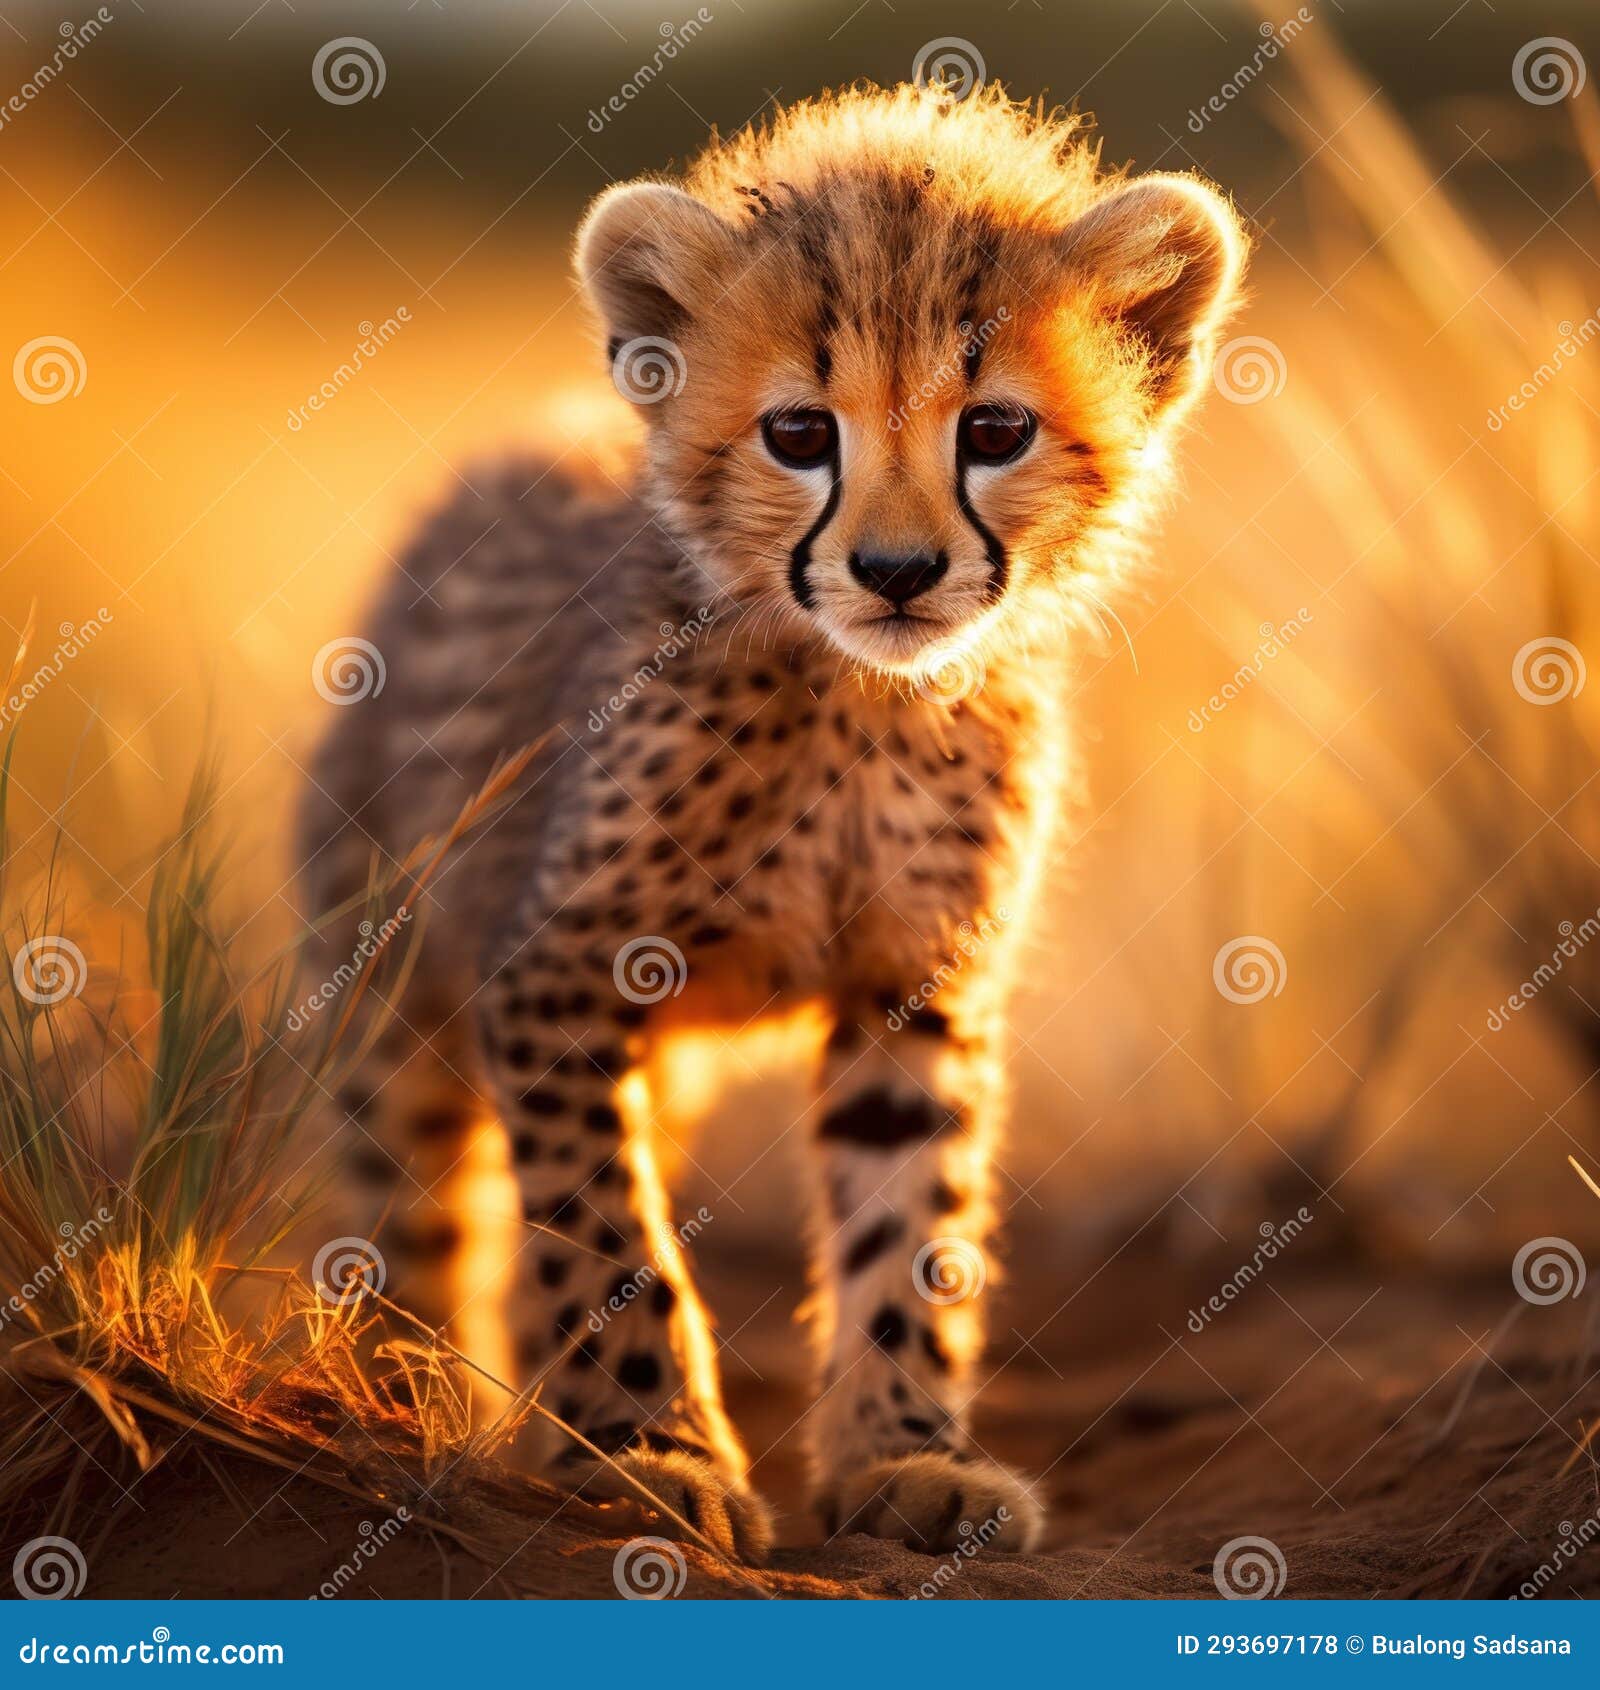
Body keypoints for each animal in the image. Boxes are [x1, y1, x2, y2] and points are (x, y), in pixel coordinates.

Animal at [297, 81, 1247, 1566]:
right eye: (801, 434)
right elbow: (603, 1230)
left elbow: (908, 1230)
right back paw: (412, 1404)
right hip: (391, 986)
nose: (899, 570)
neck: (862, 700)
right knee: (413, 1209)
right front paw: (650, 1453)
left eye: (995, 430)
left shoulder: (914, 987)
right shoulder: (557, 971)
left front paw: (908, 1459)